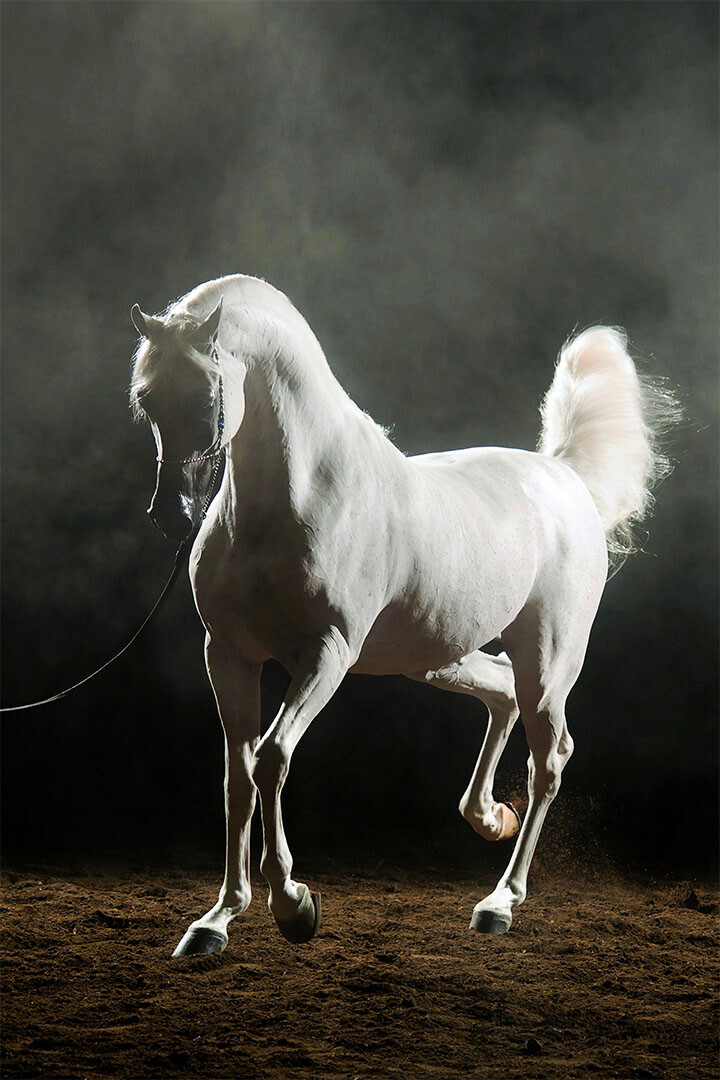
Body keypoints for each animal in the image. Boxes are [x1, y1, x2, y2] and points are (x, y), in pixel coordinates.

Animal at [129, 274, 675, 956]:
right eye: (146, 399)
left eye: (206, 395)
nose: (171, 515)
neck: (297, 496)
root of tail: (563, 476)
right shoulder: (227, 653)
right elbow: (238, 777)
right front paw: (217, 919)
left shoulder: (327, 653)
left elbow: (272, 759)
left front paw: (293, 904)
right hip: (437, 657)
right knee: (501, 695)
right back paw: (490, 817)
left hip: (548, 662)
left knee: (548, 758)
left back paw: (500, 902)